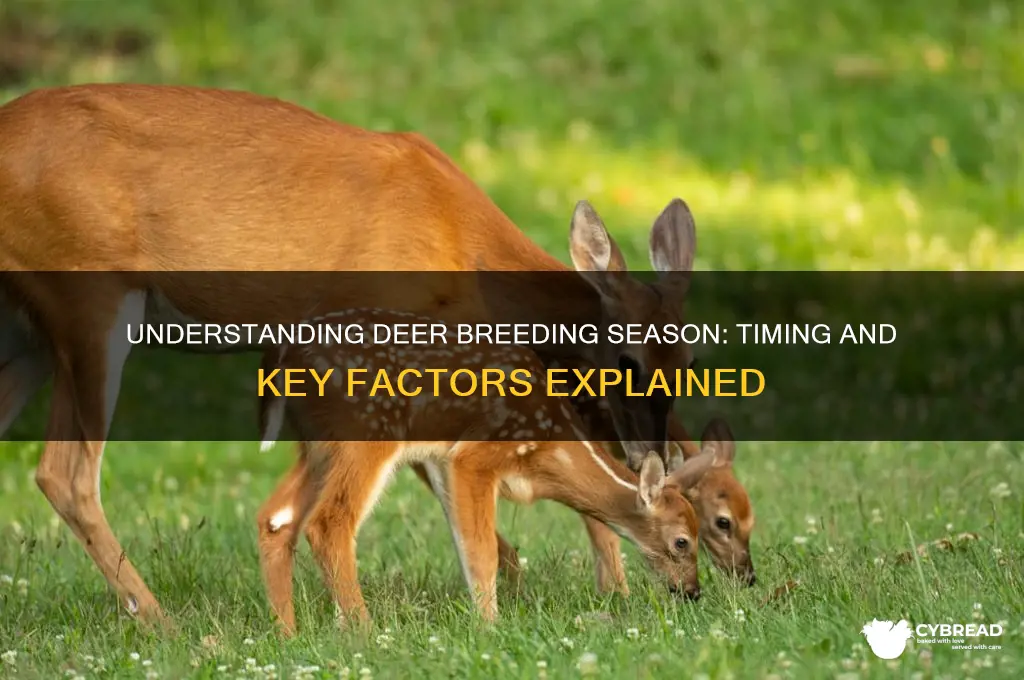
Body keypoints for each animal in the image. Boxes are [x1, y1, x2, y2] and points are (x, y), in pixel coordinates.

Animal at [254, 308, 723, 634]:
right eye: (682, 541)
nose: (693, 591)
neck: (549, 451)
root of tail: (282, 356)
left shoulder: (445, 463)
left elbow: (474, 543)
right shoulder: (474, 455)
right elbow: (481, 549)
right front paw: (489, 625)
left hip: (315, 447)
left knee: (276, 518)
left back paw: (288, 634)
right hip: (366, 434)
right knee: (328, 522)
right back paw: (363, 633)